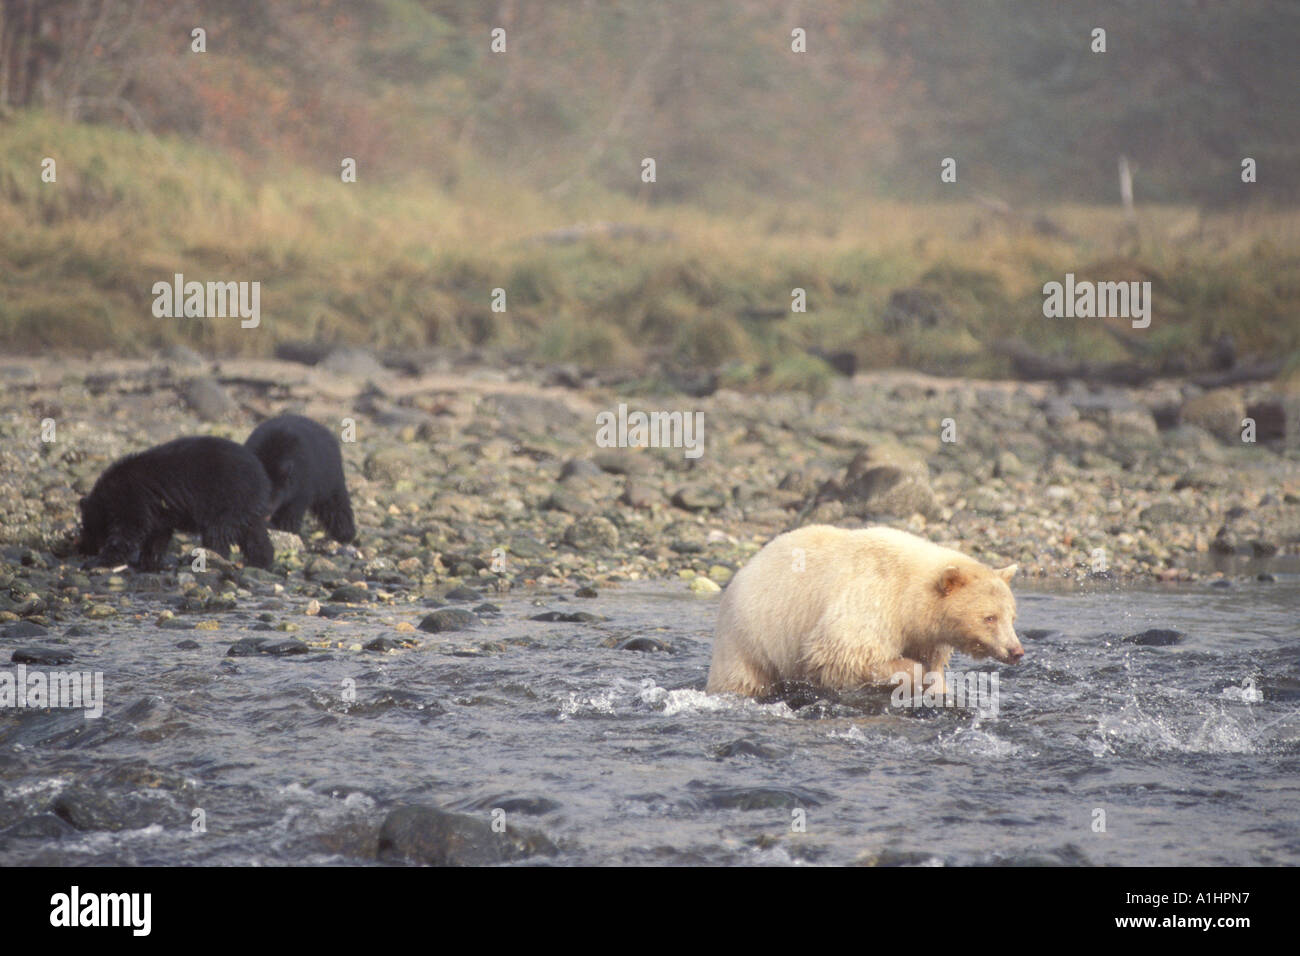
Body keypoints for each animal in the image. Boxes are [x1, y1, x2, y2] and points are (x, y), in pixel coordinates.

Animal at [78, 436, 274, 571]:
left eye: (86, 528)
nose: (83, 549)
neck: (108, 493)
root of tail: (262, 475)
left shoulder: (132, 497)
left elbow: (128, 530)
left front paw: (98, 561)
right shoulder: (158, 510)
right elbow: (158, 534)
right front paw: (148, 562)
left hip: (226, 499)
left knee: (217, 533)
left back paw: (210, 558)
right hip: (247, 506)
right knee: (255, 535)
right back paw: (260, 561)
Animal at [244, 414, 355, 543]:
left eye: (270, 499)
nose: (260, 515)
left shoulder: (302, 485)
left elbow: (292, 512)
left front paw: (285, 529)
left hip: (330, 479)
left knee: (335, 505)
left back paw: (345, 534)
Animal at [706, 524, 1023, 698]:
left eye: (1012, 616)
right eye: (989, 618)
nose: (1016, 651)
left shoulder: (925, 636)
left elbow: (933, 665)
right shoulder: (870, 601)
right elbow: (846, 653)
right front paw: (913, 675)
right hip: (748, 636)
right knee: (743, 678)